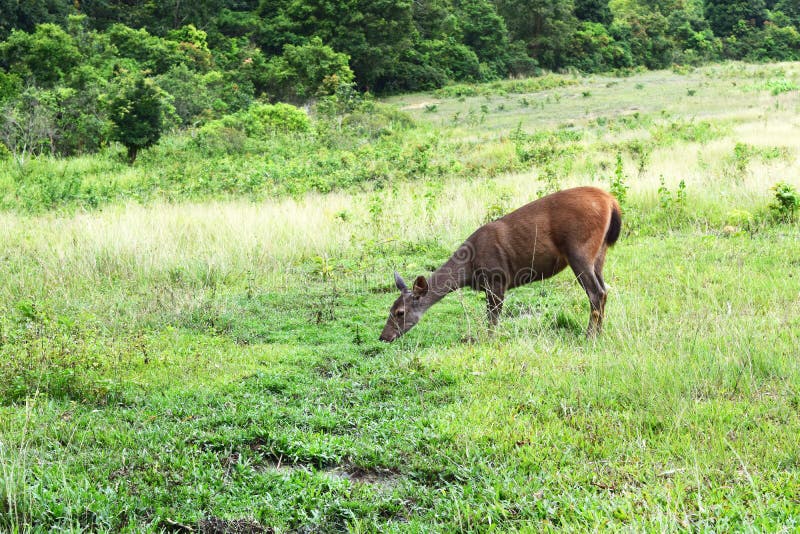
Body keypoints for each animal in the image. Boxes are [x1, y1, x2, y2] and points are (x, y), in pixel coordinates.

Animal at [379, 186, 621, 342]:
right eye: (390, 309)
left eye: (399, 312)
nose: (383, 337)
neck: (468, 268)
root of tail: (611, 201)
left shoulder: (497, 278)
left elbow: (493, 318)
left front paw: (490, 340)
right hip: (599, 251)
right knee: (604, 289)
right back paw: (600, 334)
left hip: (579, 248)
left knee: (596, 292)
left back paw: (589, 336)